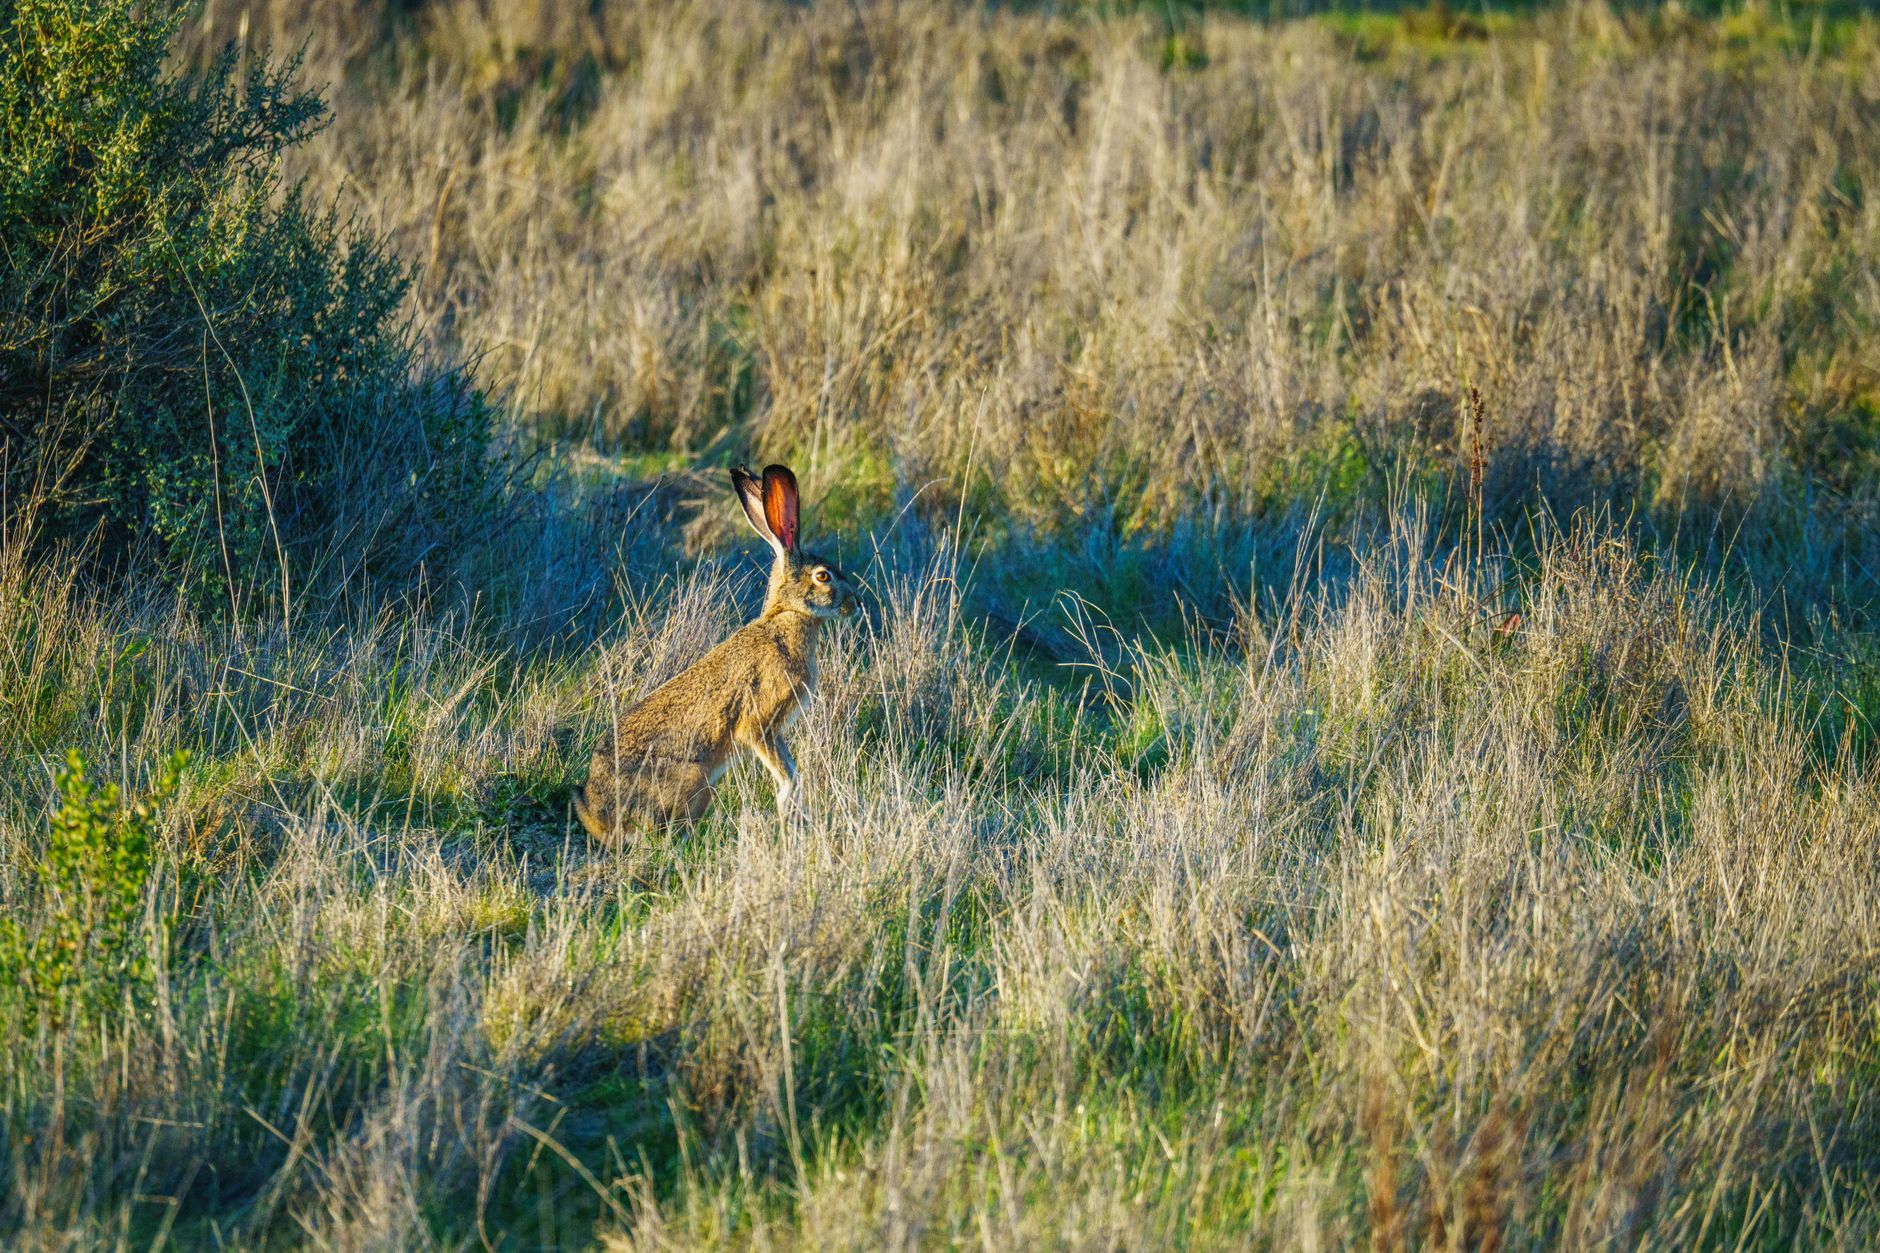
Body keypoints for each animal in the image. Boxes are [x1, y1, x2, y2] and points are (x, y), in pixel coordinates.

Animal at [574, 464, 861, 842]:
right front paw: (787, 810)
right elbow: (783, 773)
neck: (785, 616)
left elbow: (791, 766)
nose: (855, 604)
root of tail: (596, 814)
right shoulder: (758, 723)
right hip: (696, 780)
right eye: (823, 576)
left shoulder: (776, 730)